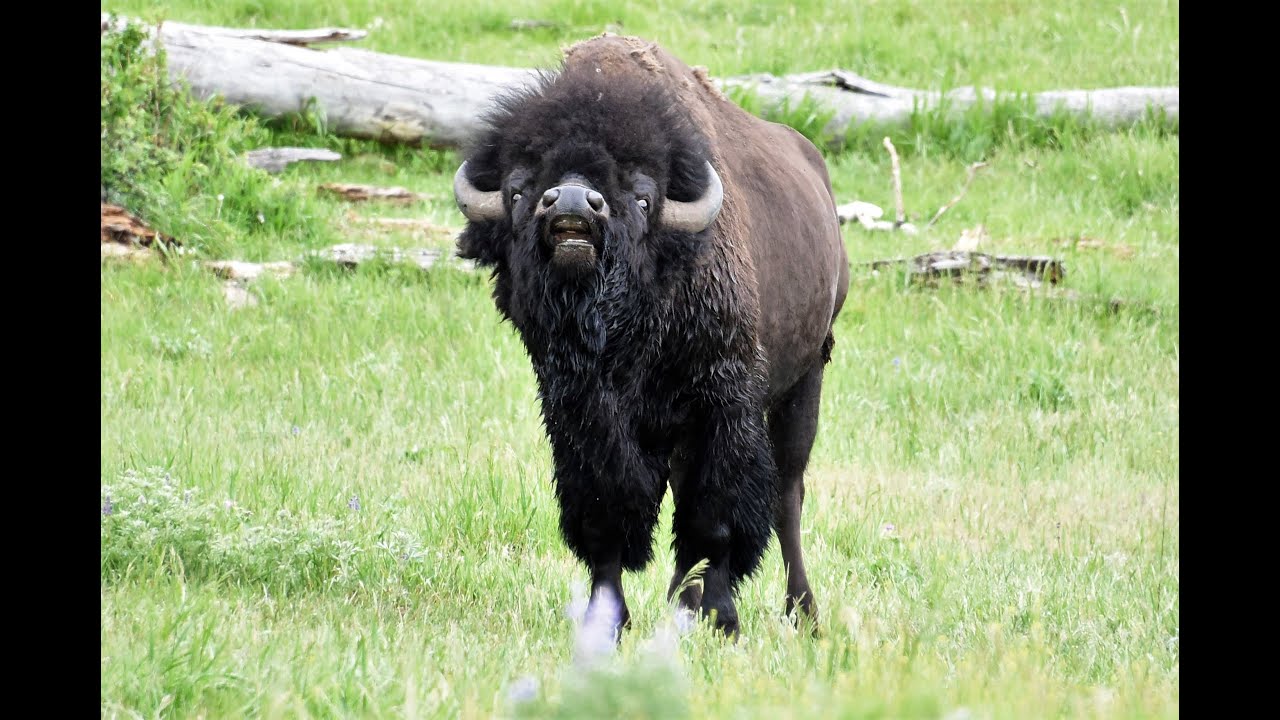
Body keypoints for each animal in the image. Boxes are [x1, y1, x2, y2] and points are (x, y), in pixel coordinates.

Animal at [453, 34, 850, 638]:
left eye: (642, 197)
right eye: (518, 190)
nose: (573, 204)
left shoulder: (721, 407)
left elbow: (715, 518)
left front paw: (722, 619)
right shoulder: (581, 421)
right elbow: (607, 518)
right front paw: (608, 621)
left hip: (806, 379)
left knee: (787, 494)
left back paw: (801, 612)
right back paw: (682, 600)